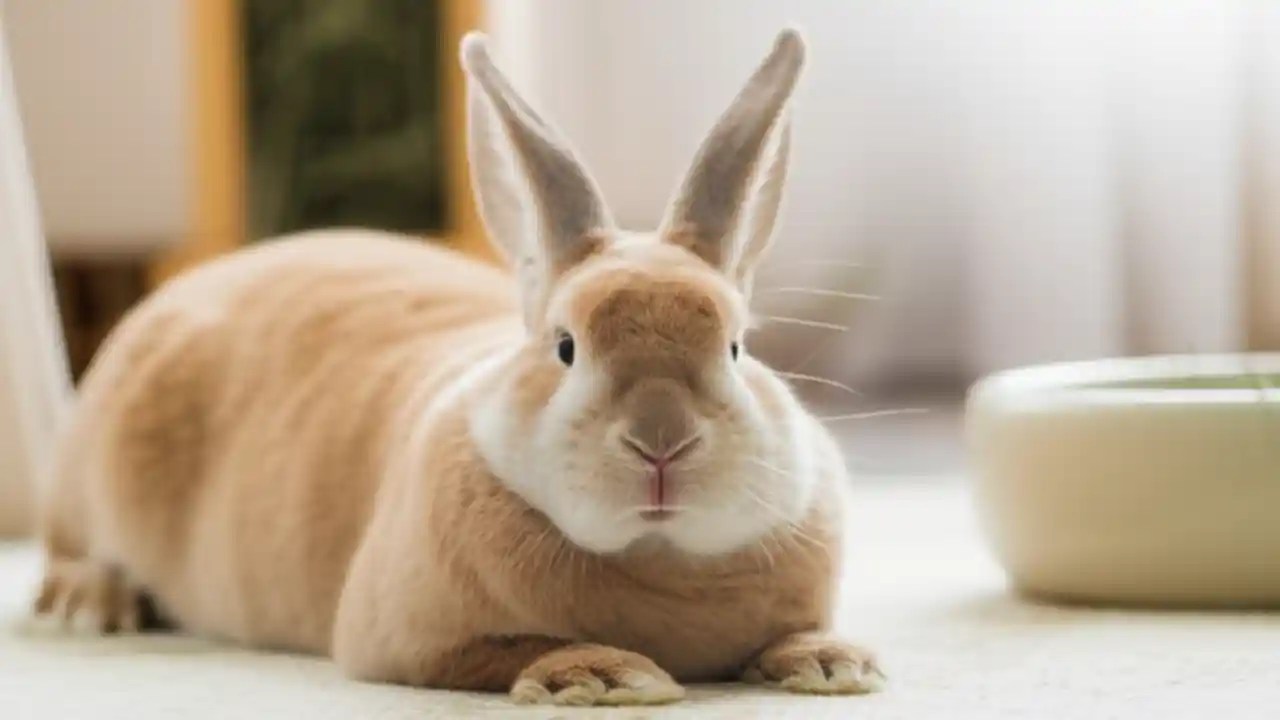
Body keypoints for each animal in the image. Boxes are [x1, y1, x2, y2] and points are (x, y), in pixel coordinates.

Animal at [33, 28, 884, 706]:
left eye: (736, 348)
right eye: (565, 346)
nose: (661, 443)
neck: (660, 556)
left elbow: (790, 637)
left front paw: (835, 665)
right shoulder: (408, 639)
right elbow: (509, 652)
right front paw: (606, 677)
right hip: (87, 488)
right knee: (71, 549)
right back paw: (92, 603)